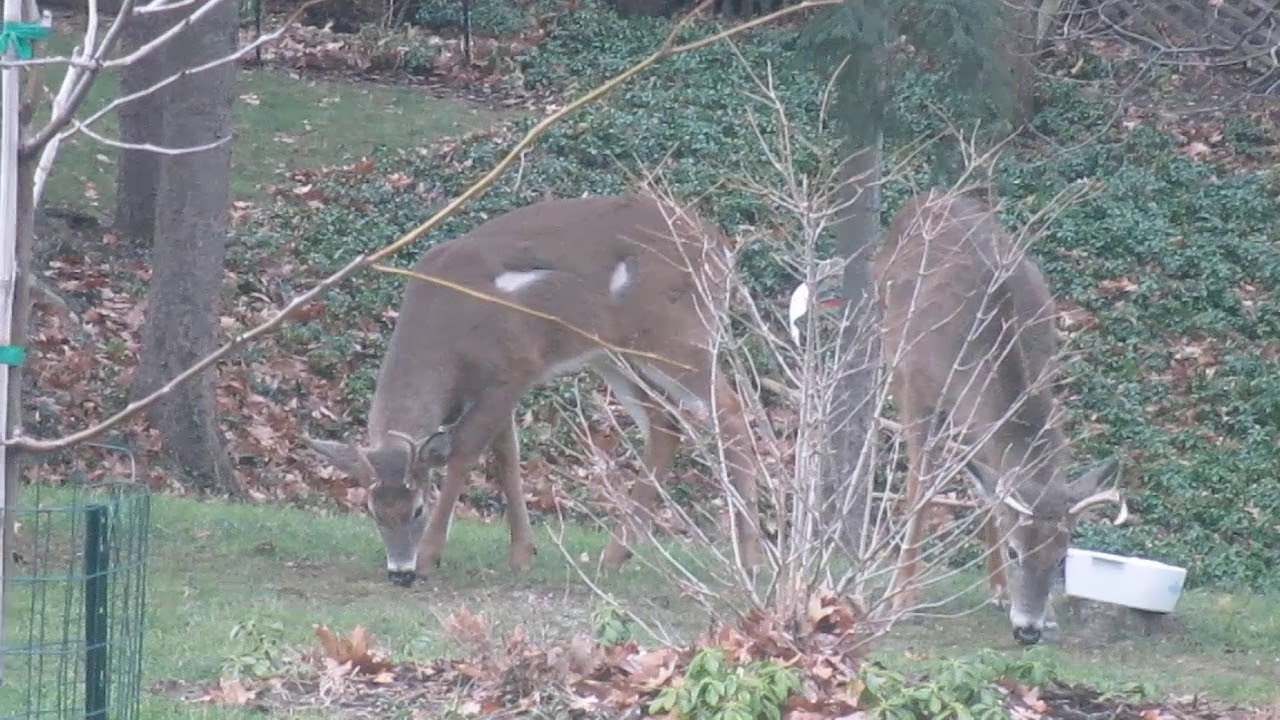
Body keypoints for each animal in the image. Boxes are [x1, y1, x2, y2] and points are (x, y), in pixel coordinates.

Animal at [304, 194, 763, 588]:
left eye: (417, 507)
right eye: (373, 510)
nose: (400, 572)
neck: (447, 332)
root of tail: (718, 246)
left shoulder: (515, 365)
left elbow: (465, 452)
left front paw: (432, 555)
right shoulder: (495, 385)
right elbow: (506, 458)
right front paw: (523, 554)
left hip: (677, 334)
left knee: (730, 408)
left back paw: (750, 559)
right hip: (611, 355)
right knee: (665, 424)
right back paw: (615, 556)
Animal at [871, 189, 1127, 645]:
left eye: (1062, 557)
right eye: (1014, 550)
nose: (1027, 631)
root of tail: (929, 199)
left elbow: (992, 490)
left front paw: (1026, 603)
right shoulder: (916, 390)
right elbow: (919, 492)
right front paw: (899, 601)